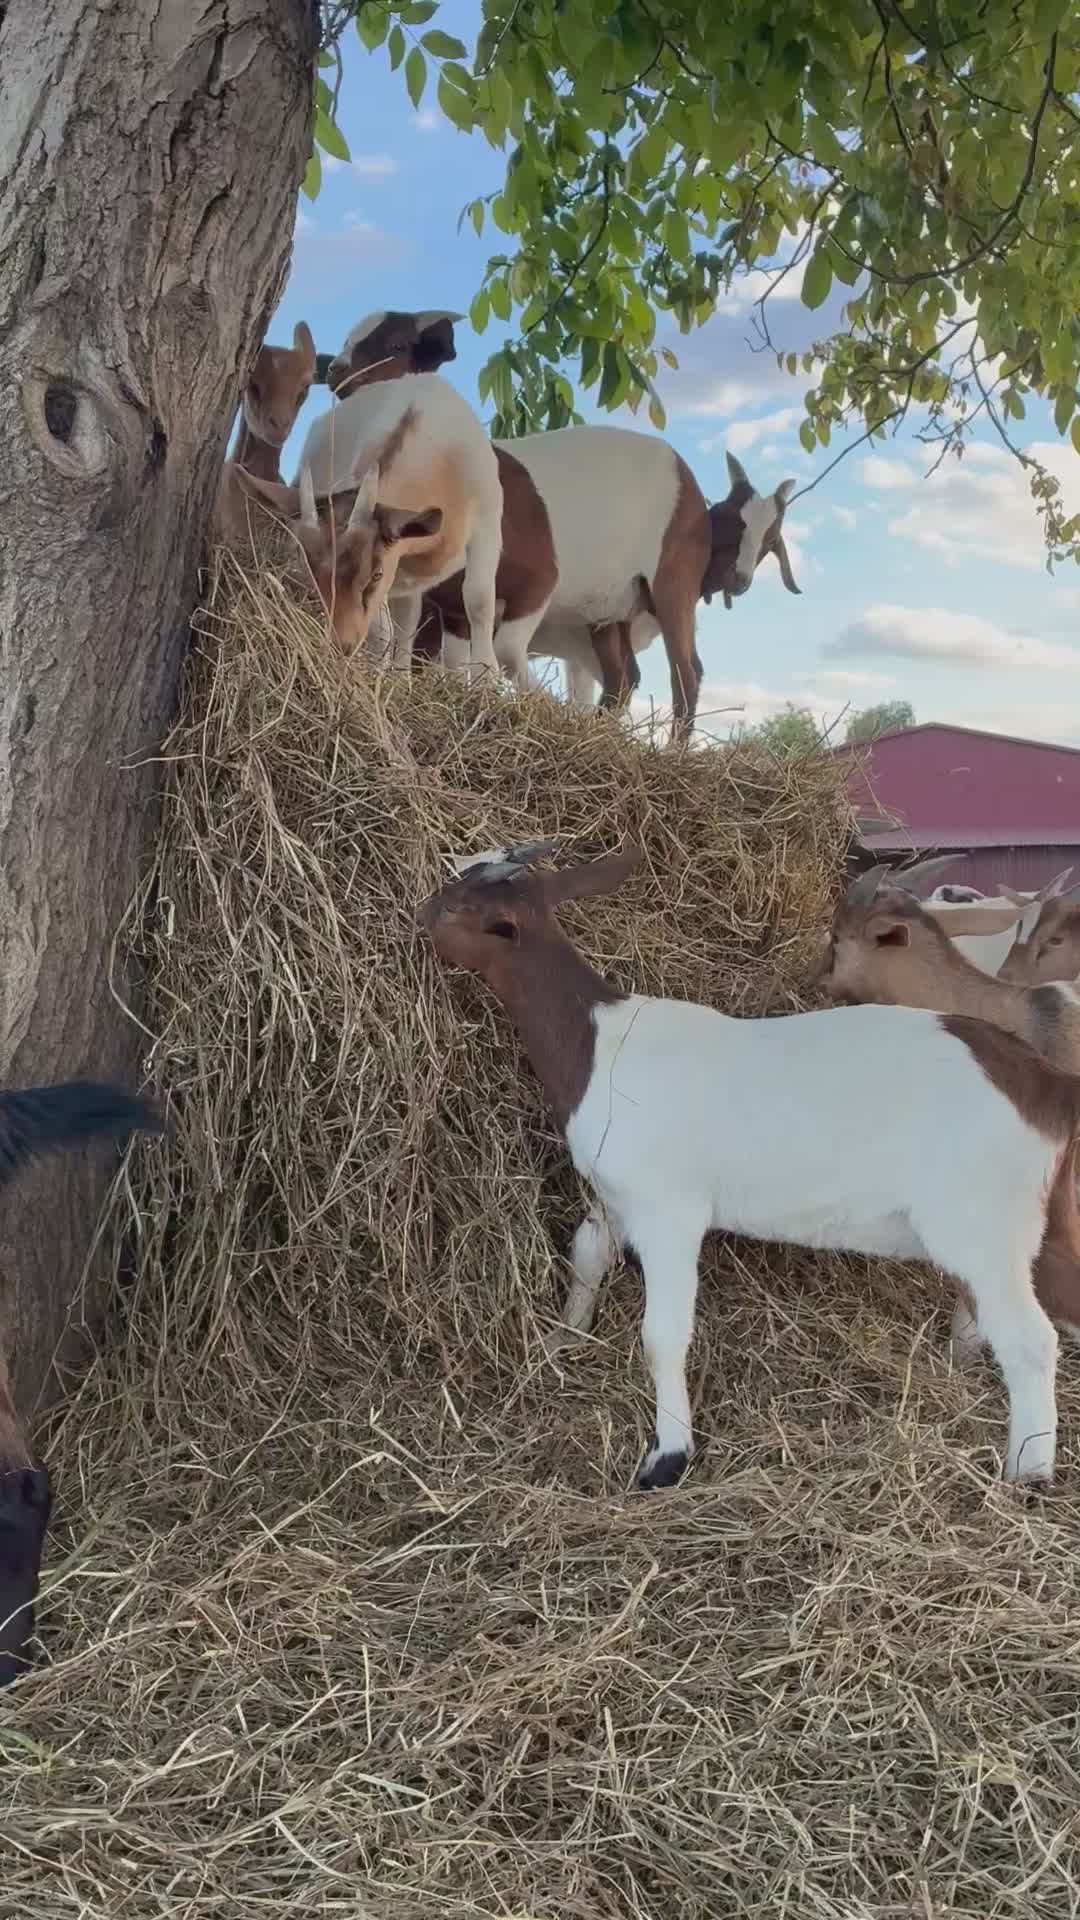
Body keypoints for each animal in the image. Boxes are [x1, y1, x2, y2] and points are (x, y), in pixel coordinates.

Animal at [238, 375, 503, 672]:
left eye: (376, 574)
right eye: (308, 571)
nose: (341, 646)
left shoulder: (488, 522)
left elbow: (478, 601)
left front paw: (488, 676)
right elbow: (381, 630)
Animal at [422, 842, 1078, 1491]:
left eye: (456, 903)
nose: (419, 914)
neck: (596, 1043)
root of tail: (1047, 1085)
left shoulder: (668, 1211)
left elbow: (663, 1335)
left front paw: (667, 1457)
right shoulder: (613, 1194)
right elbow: (586, 1253)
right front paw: (564, 1339)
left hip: (983, 1221)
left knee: (1031, 1340)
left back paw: (1028, 1473)